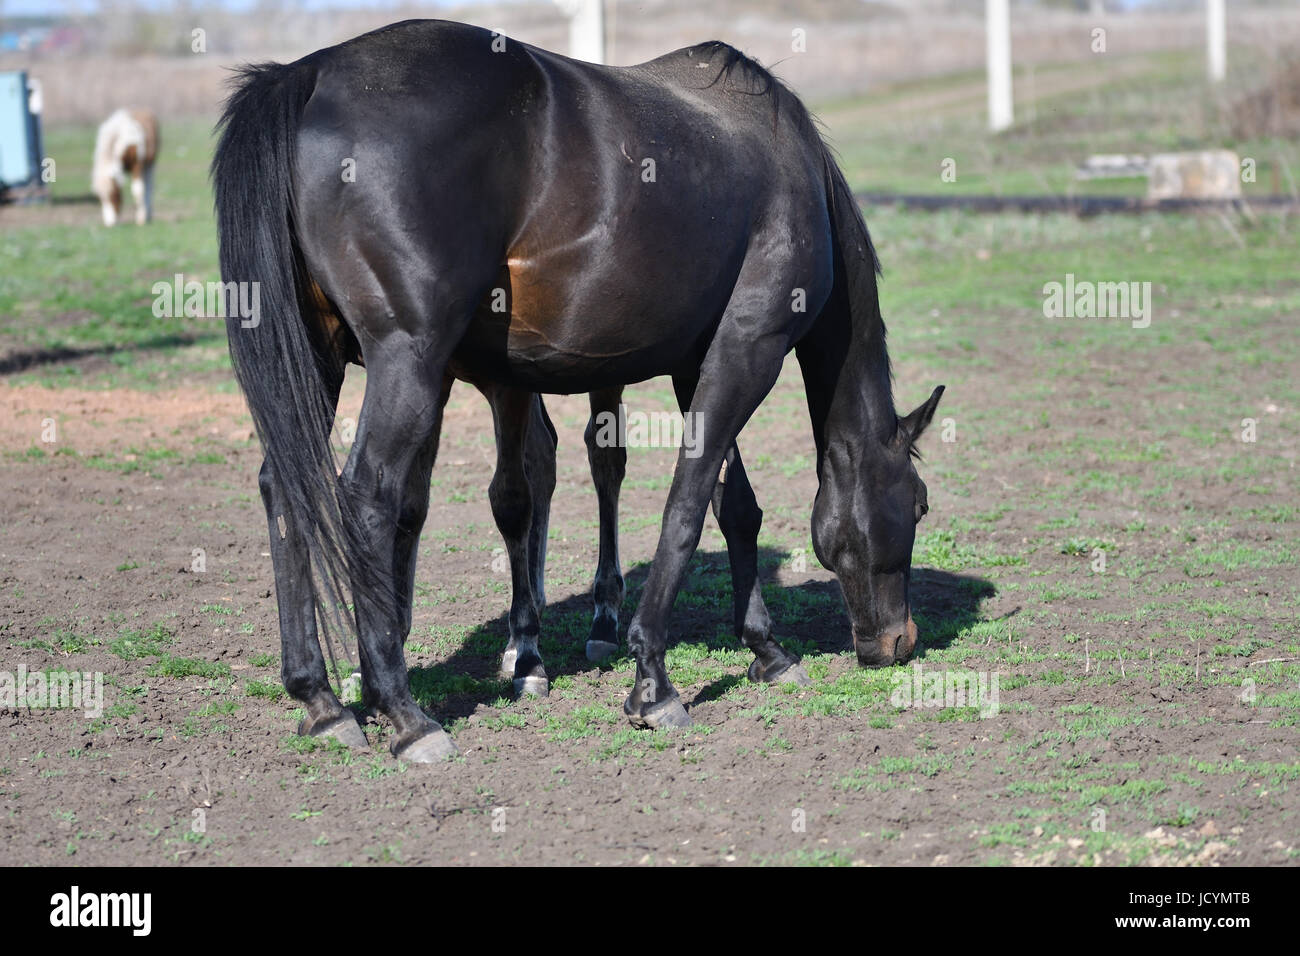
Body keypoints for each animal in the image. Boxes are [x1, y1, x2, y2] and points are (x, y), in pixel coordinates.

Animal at [212, 19, 943, 763]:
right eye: (919, 505)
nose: (899, 642)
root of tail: (309, 74)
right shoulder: (750, 350)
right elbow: (685, 507)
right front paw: (653, 682)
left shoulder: (700, 363)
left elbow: (733, 506)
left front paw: (766, 650)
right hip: (407, 361)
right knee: (364, 497)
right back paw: (405, 712)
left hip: (321, 361)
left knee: (285, 486)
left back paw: (321, 700)